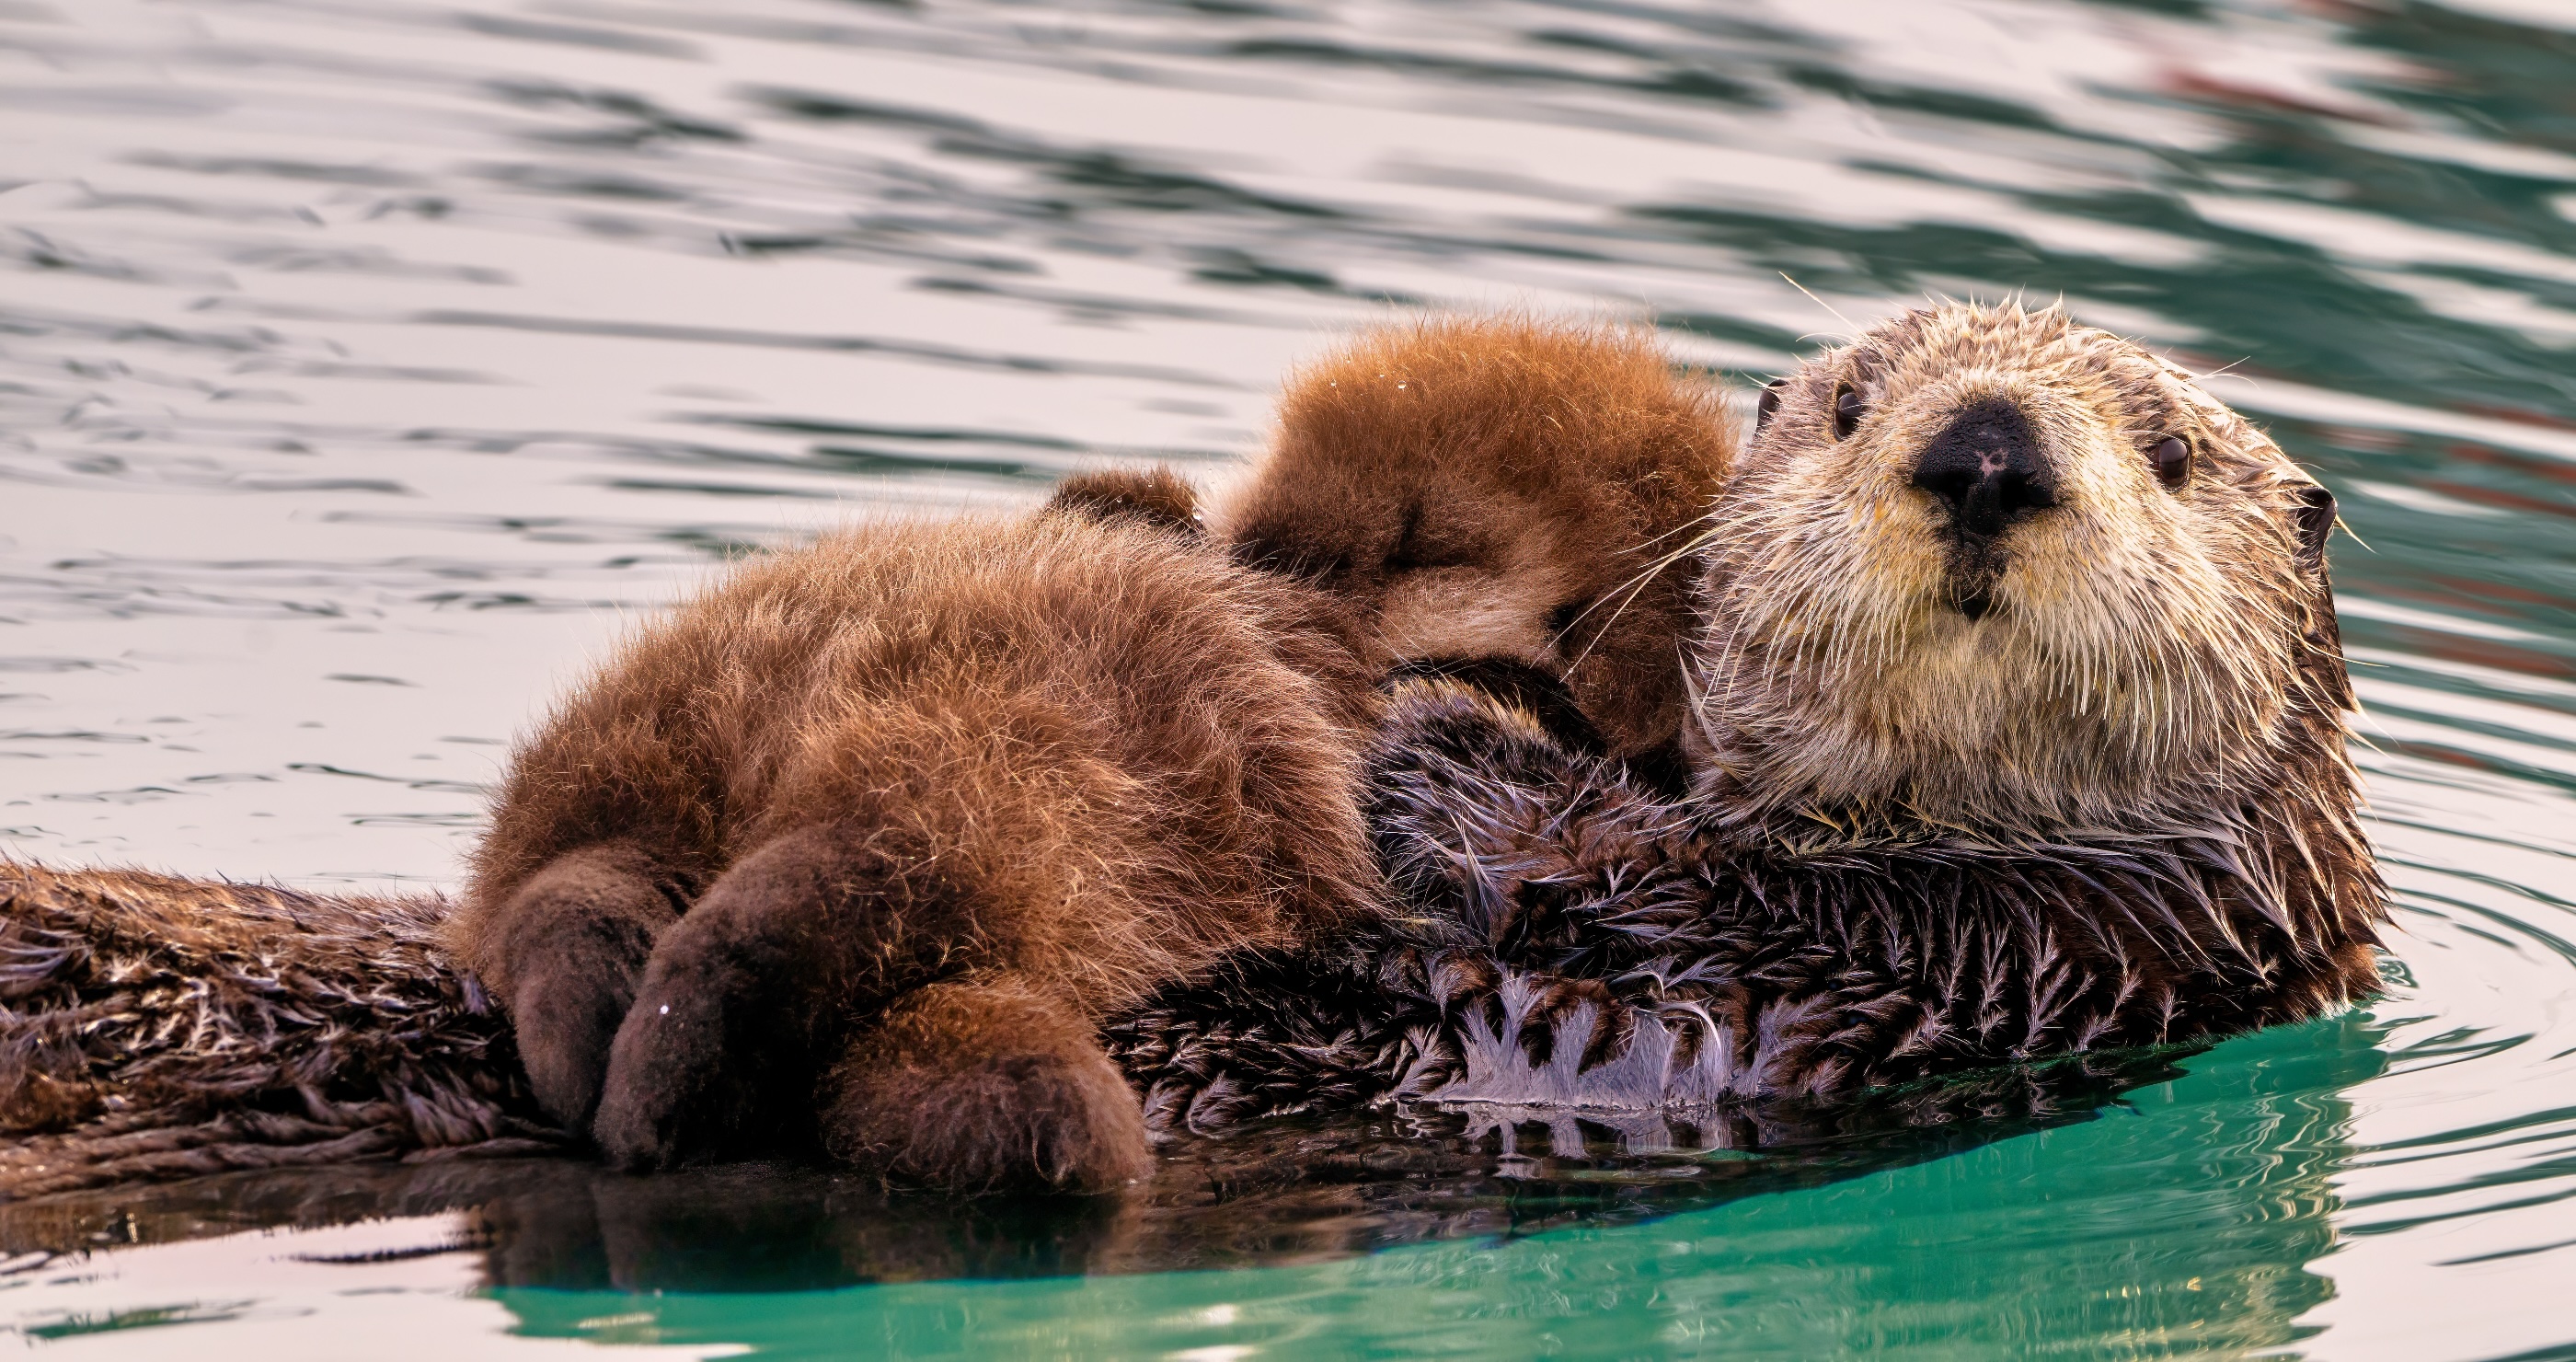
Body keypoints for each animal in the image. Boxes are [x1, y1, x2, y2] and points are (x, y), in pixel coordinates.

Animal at [1109, 301, 2384, 1130]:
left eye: (2172, 453)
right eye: (1850, 404)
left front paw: (1439, 712)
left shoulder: (2026, 943)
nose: (1986, 452)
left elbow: (1634, 873)